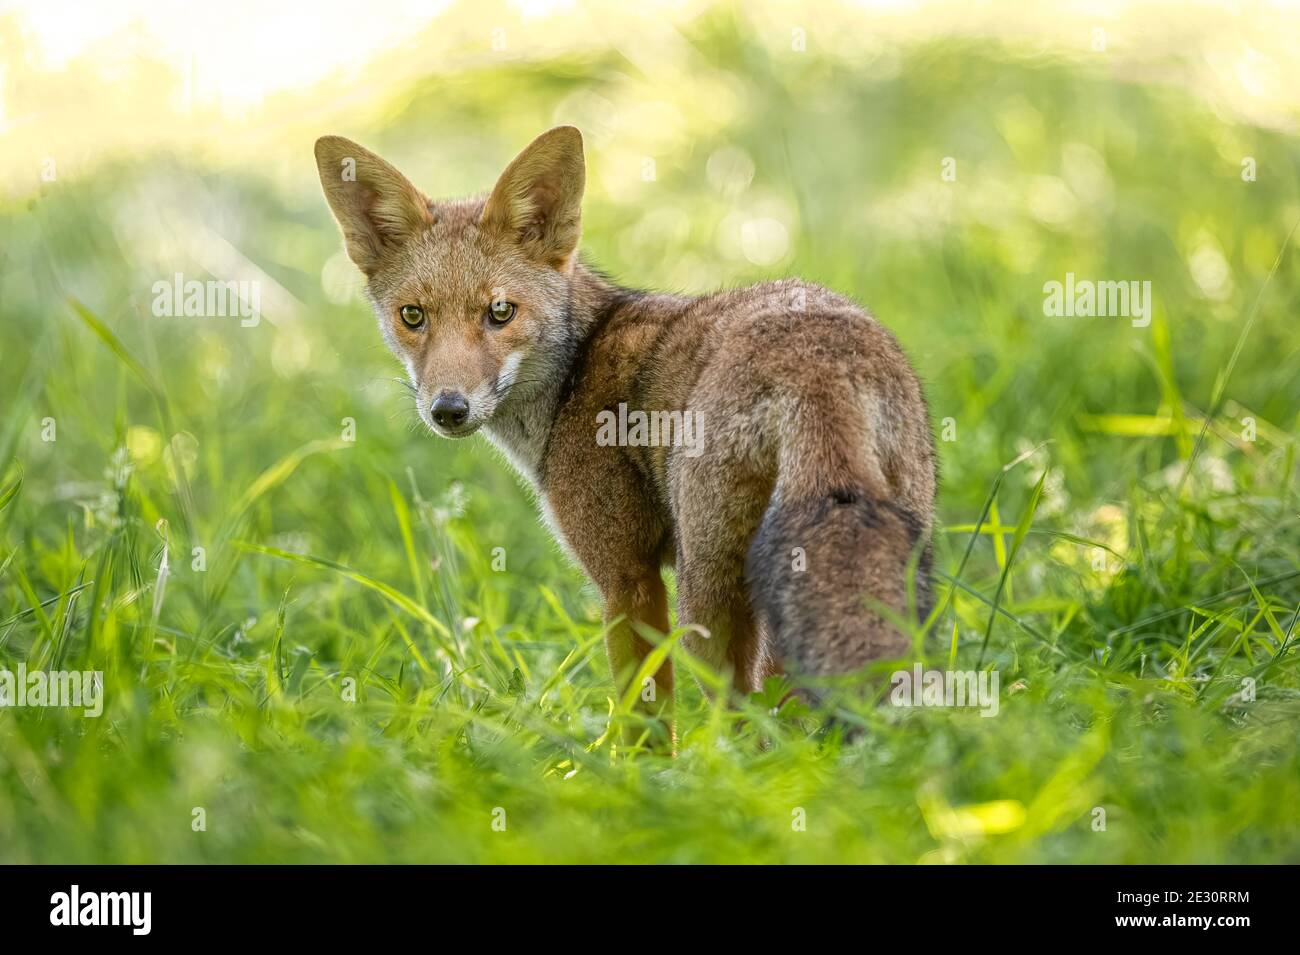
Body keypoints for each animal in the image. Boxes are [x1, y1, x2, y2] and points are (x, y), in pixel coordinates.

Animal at [314, 126, 936, 733]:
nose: (448, 409)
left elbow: (645, 718)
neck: (576, 371)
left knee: (740, 721)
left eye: (500, 312)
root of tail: (817, 362)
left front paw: (636, 762)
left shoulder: (624, 577)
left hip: (708, 596)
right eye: (412, 316)